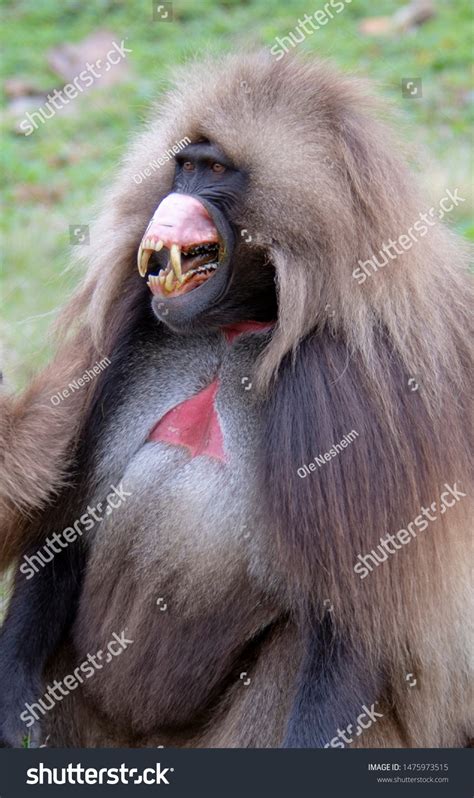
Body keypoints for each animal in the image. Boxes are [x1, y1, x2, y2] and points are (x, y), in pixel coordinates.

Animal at [0, 52, 472, 748]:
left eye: (217, 172)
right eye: (186, 166)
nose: (173, 200)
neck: (246, 324)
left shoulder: (350, 384)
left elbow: (352, 622)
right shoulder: (126, 338)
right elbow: (66, 530)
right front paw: (15, 715)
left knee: (296, 648)